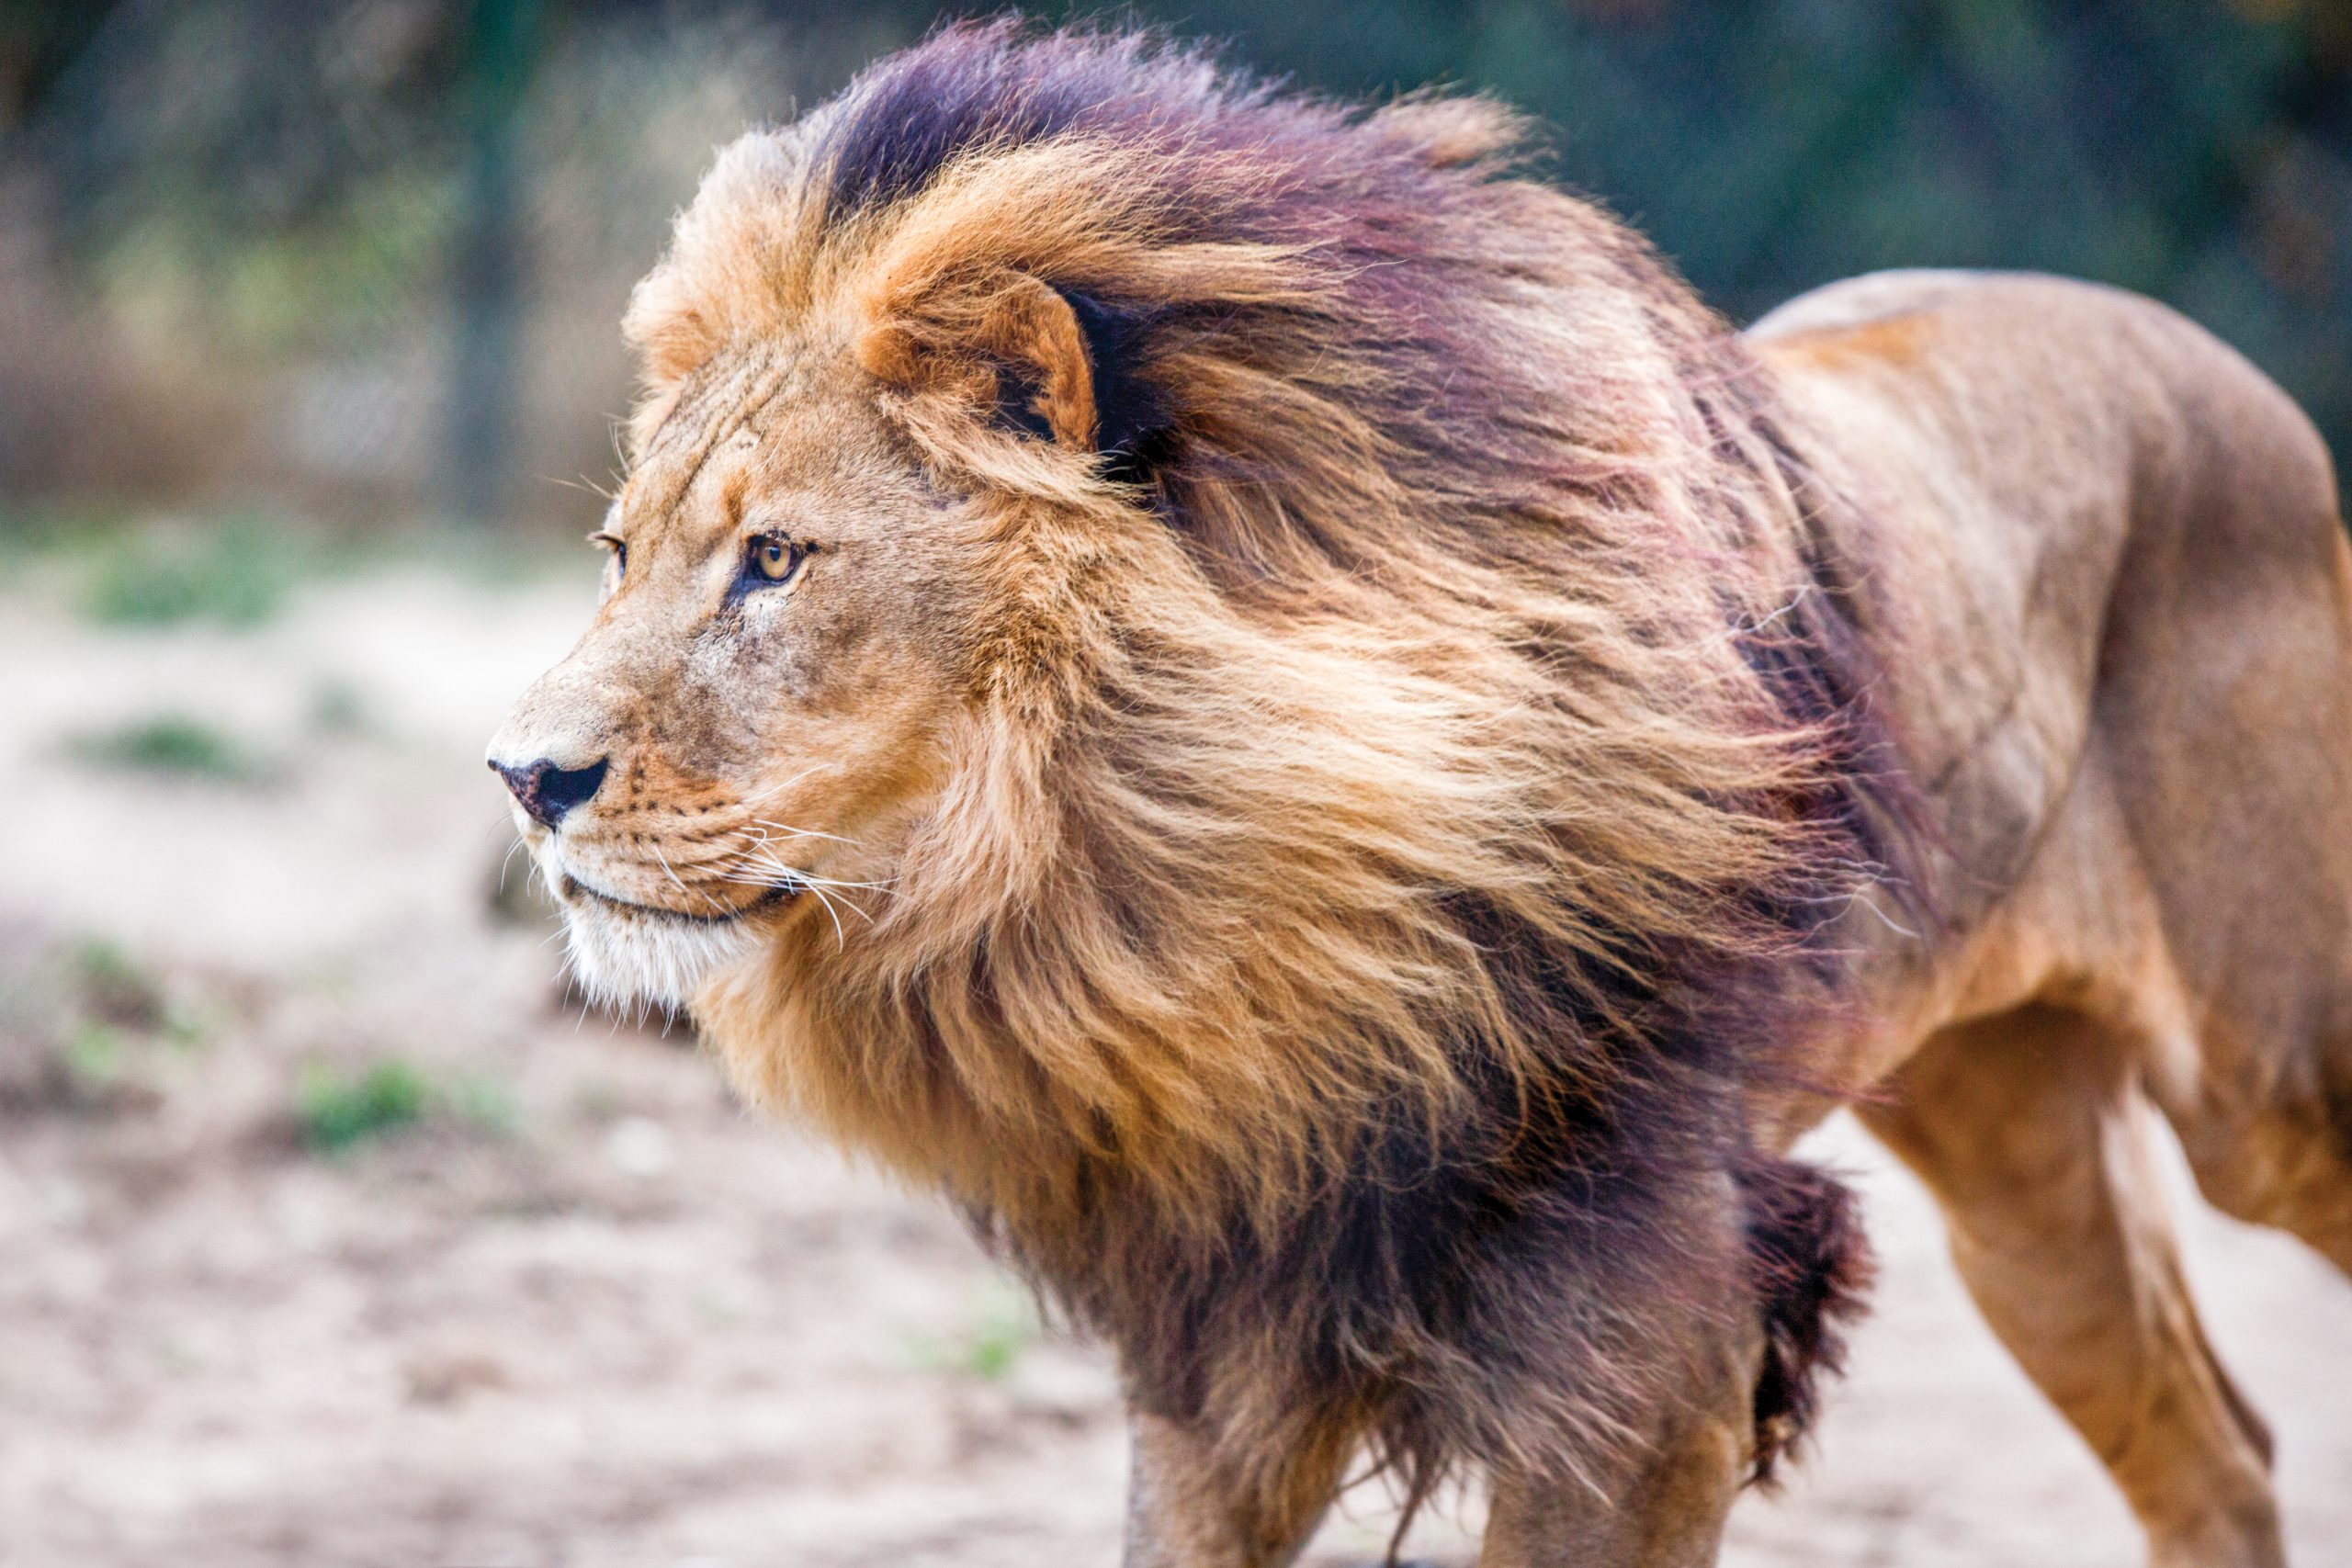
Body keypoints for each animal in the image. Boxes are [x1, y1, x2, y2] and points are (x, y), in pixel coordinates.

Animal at [487, 22, 2352, 1567]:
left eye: (775, 560)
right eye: (620, 552)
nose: (521, 775)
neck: (1173, 911)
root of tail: (2225, 369)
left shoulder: (1647, 1337)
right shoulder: (1224, 1338)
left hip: (2268, 1088)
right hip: (2014, 1147)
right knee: (2218, 1455)